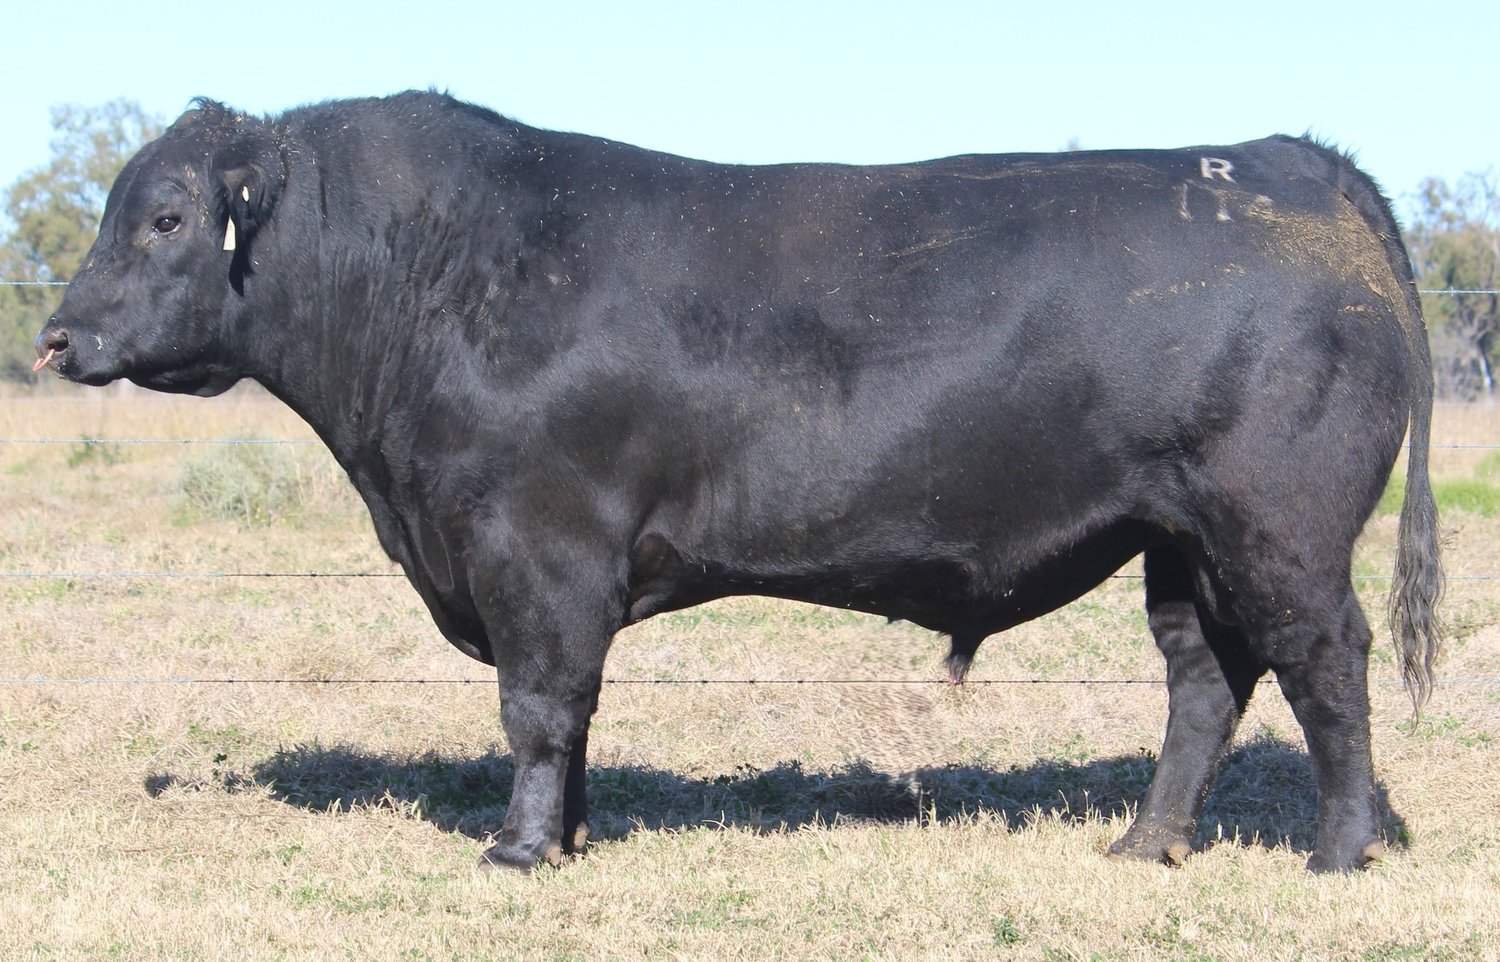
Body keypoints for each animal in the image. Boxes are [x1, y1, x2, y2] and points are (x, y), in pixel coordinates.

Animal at [34, 92, 1442, 874]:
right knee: (1205, 676)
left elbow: (538, 706)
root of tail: (1290, 161)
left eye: (166, 218)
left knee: (1327, 662)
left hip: (1279, 525)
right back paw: (1147, 842)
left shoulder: (537, 549)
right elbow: (575, 713)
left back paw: (1338, 851)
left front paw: (518, 848)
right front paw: (571, 835)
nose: (53, 338)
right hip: (1178, 536)